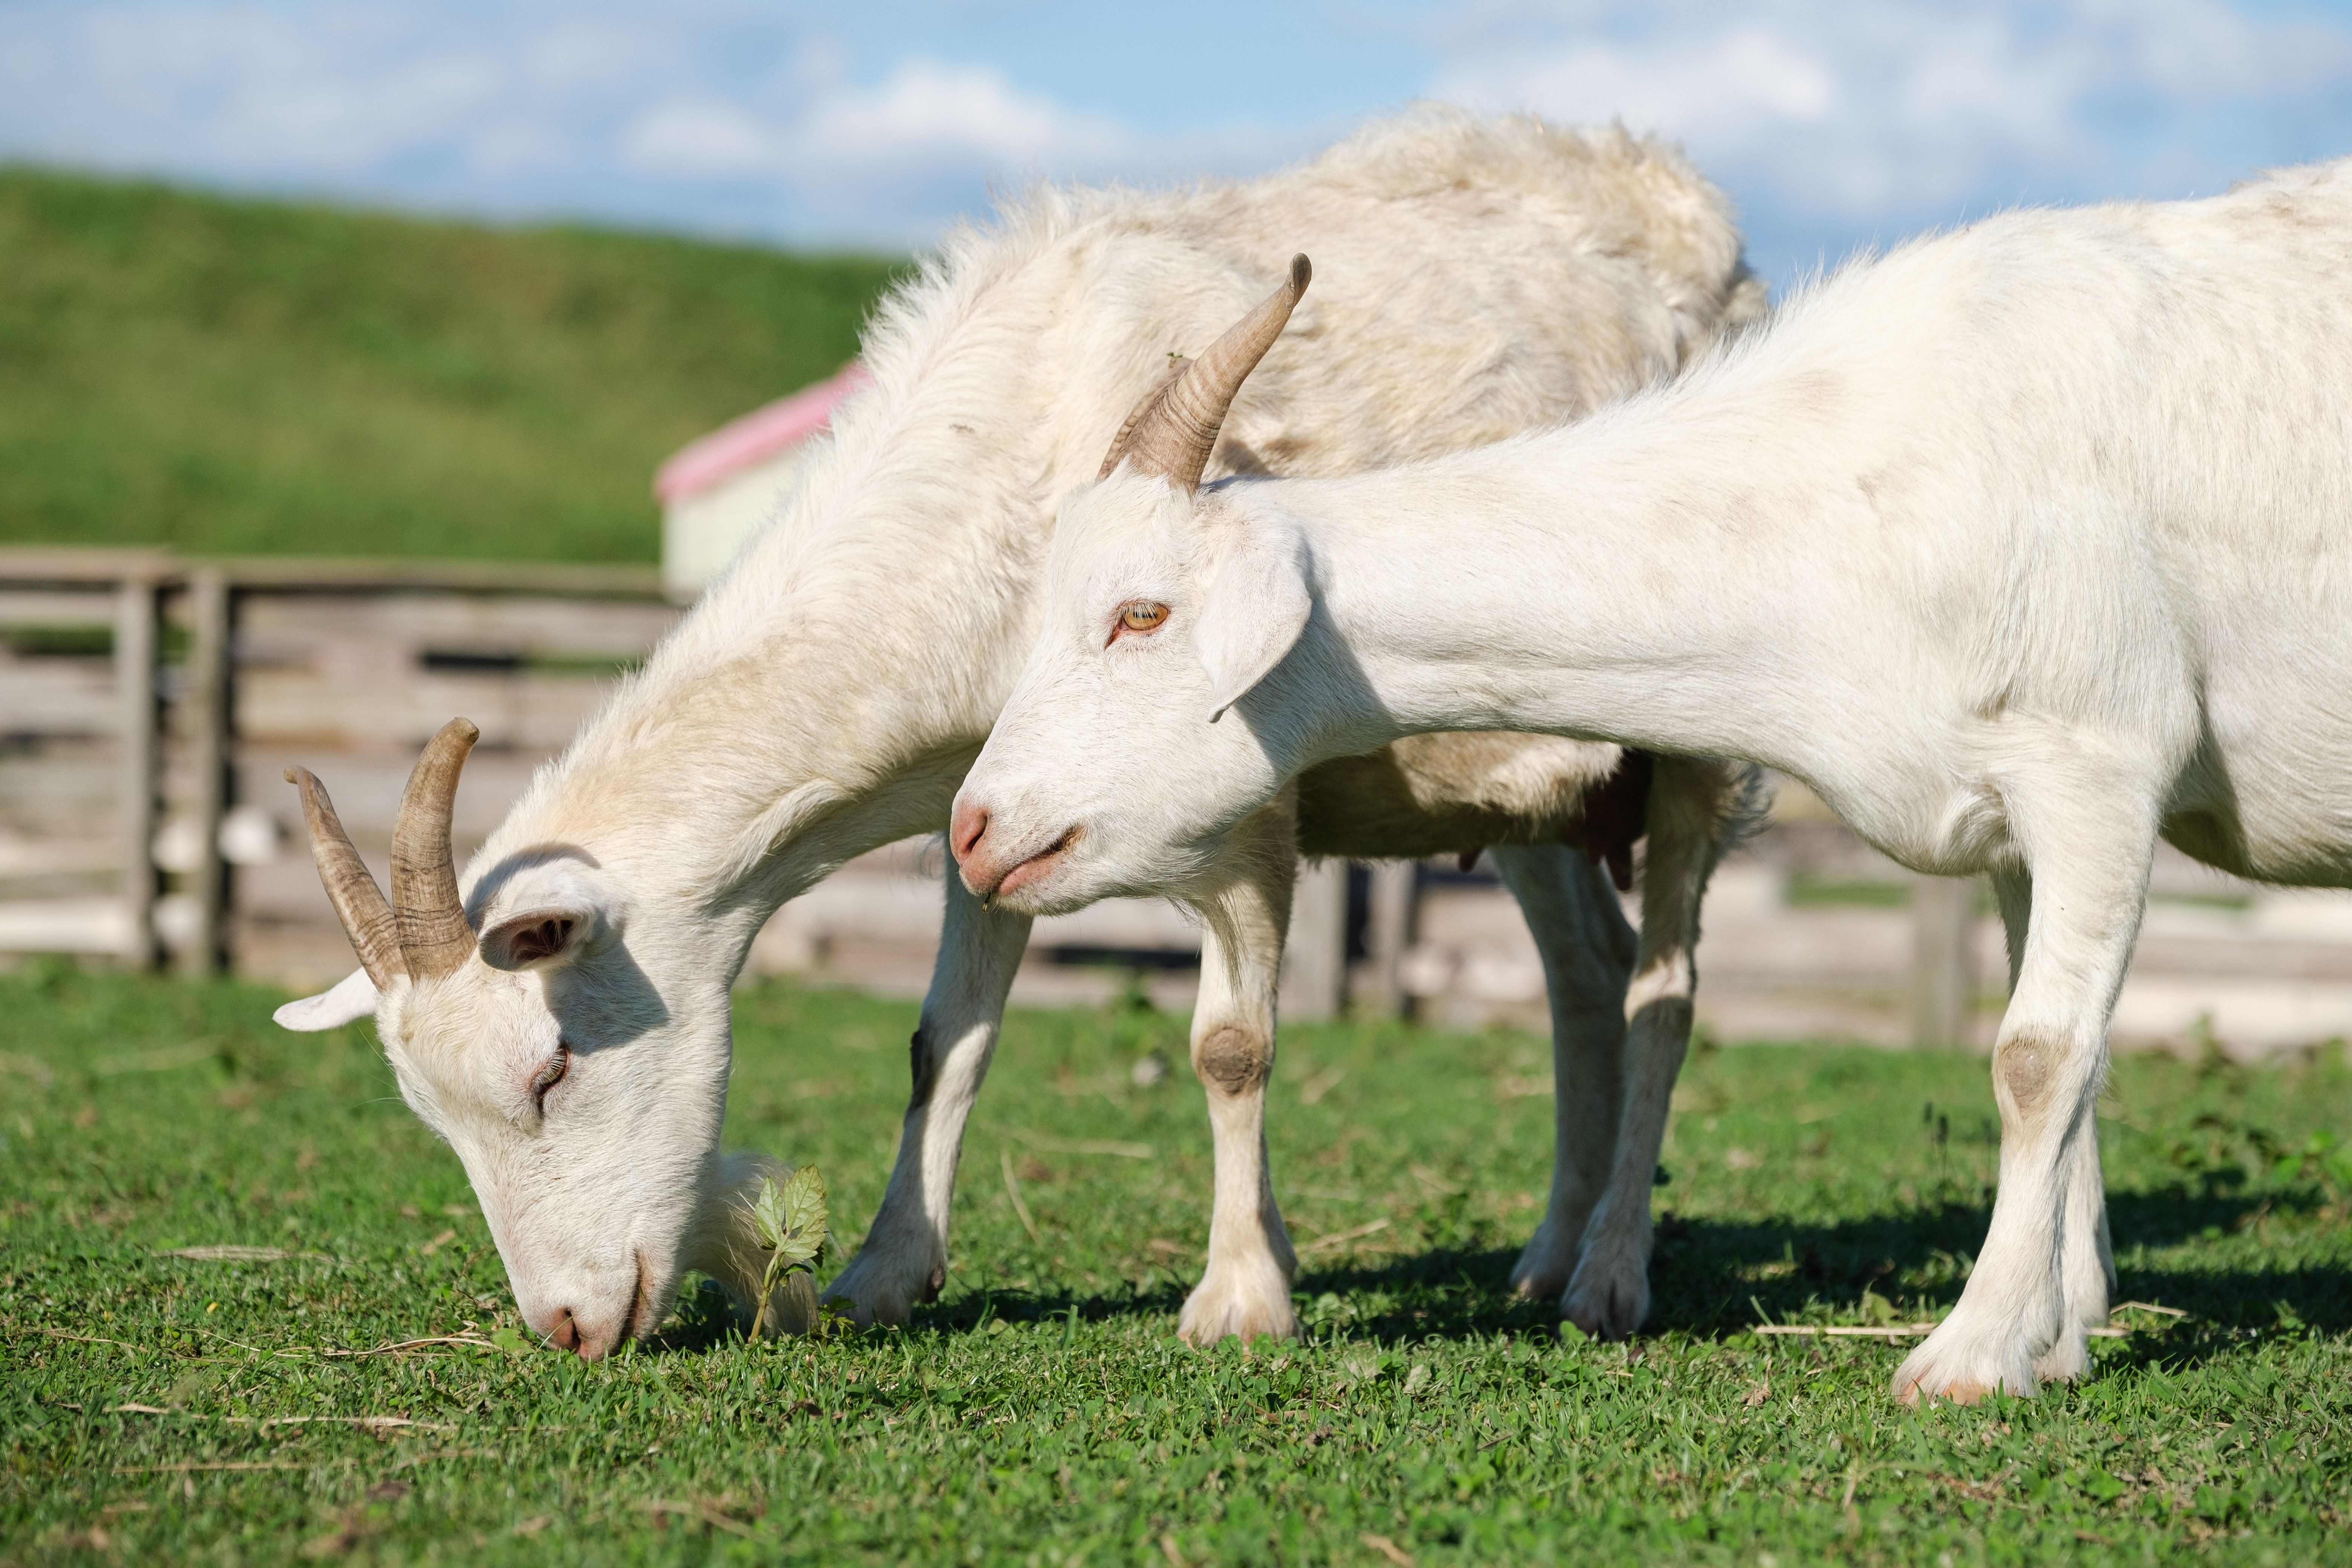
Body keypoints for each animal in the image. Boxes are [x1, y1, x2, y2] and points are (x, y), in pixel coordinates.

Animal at [274, 107, 1763, 1356]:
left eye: (550, 1070)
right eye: (434, 1116)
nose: (572, 1328)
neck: (1013, 453)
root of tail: (1684, 197)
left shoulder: (1238, 798)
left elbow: (1230, 1045)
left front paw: (1240, 1298)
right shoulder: (990, 802)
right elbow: (946, 1035)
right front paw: (885, 1274)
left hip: (1695, 737)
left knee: (1667, 991)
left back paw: (1611, 1275)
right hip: (1527, 786)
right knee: (1587, 975)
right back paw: (1549, 1251)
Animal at [951, 159, 2352, 1401]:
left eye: (1140, 614)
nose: (972, 827)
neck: (1845, 494)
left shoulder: (2097, 762)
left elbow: (2036, 1058)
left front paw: (1974, 1356)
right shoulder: (2011, 818)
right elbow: (2074, 1058)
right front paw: (2061, 1335)